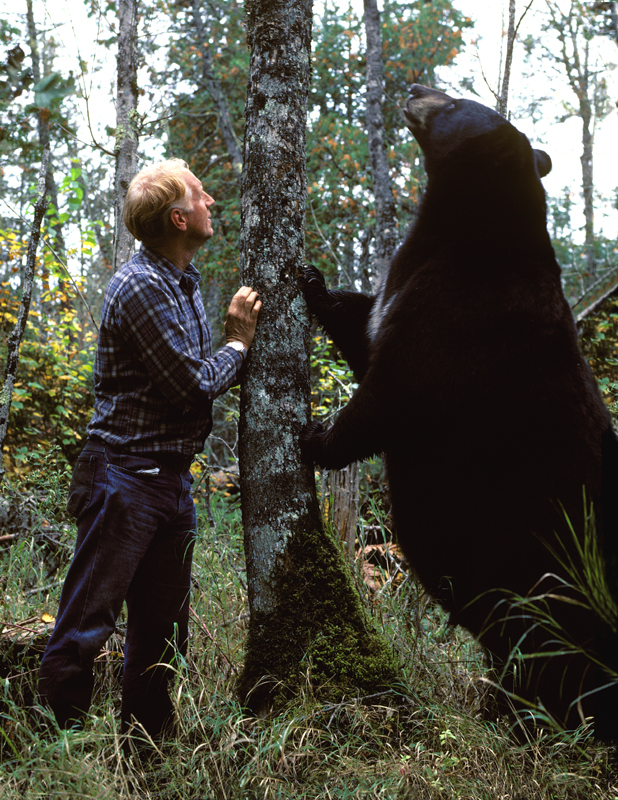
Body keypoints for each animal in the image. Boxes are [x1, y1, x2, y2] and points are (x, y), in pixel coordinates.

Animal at [300, 84, 618, 737]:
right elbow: (364, 325)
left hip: (554, 570)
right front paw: (314, 280)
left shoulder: (460, 321)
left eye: (454, 100)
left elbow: (390, 395)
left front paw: (314, 436)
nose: (416, 89)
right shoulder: (406, 290)